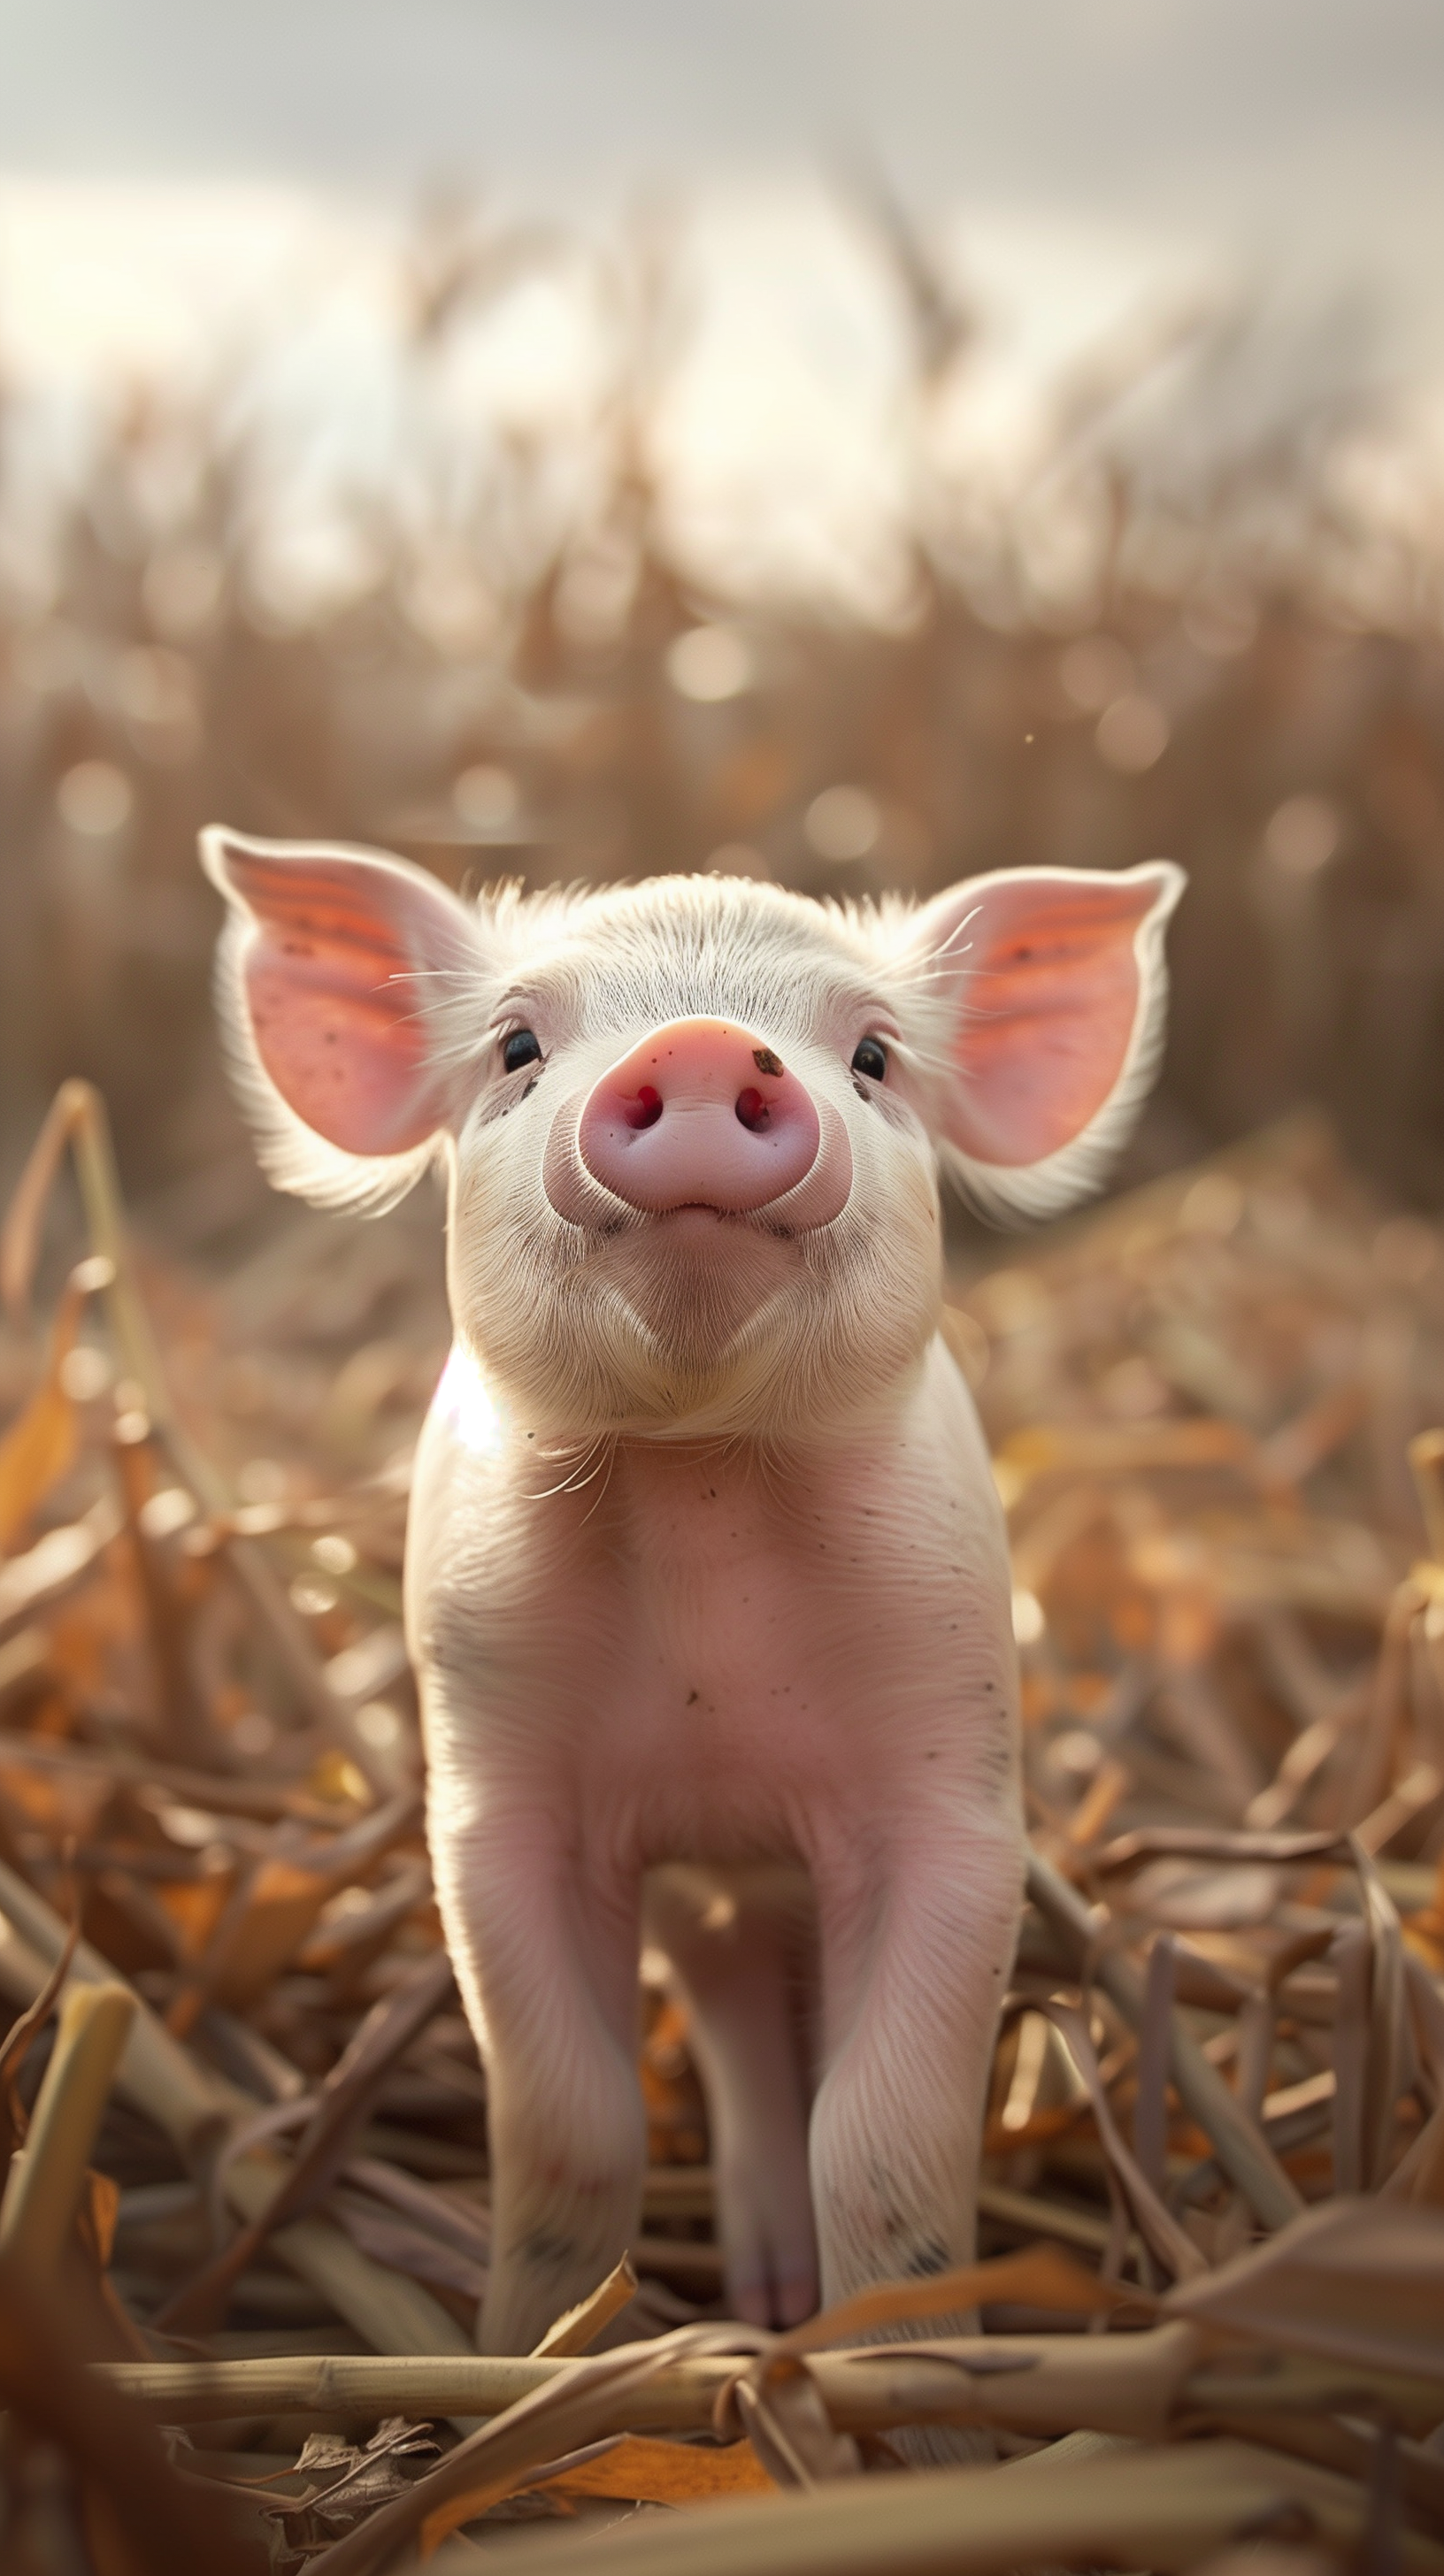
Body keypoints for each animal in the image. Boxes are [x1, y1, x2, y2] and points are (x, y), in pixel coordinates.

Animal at [202, 827, 1182, 2356]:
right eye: (516, 1045)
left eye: (878, 1057)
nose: (710, 1045)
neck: (697, 1497)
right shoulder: (494, 1799)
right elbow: (572, 2121)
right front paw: (532, 2350)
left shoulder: (952, 1793)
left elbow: (881, 2132)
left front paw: (895, 2374)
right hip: (698, 1901)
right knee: (731, 2024)